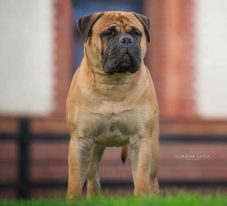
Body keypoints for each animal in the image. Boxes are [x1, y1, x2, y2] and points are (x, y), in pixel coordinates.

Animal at [66, 11, 160, 200]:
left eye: (136, 33)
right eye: (108, 33)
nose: (126, 40)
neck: (113, 84)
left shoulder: (141, 140)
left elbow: (141, 177)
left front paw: (141, 199)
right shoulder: (80, 140)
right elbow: (75, 178)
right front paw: (72, 200)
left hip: (153, 149)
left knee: (152, 180)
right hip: (93, 149)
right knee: (92, 177)